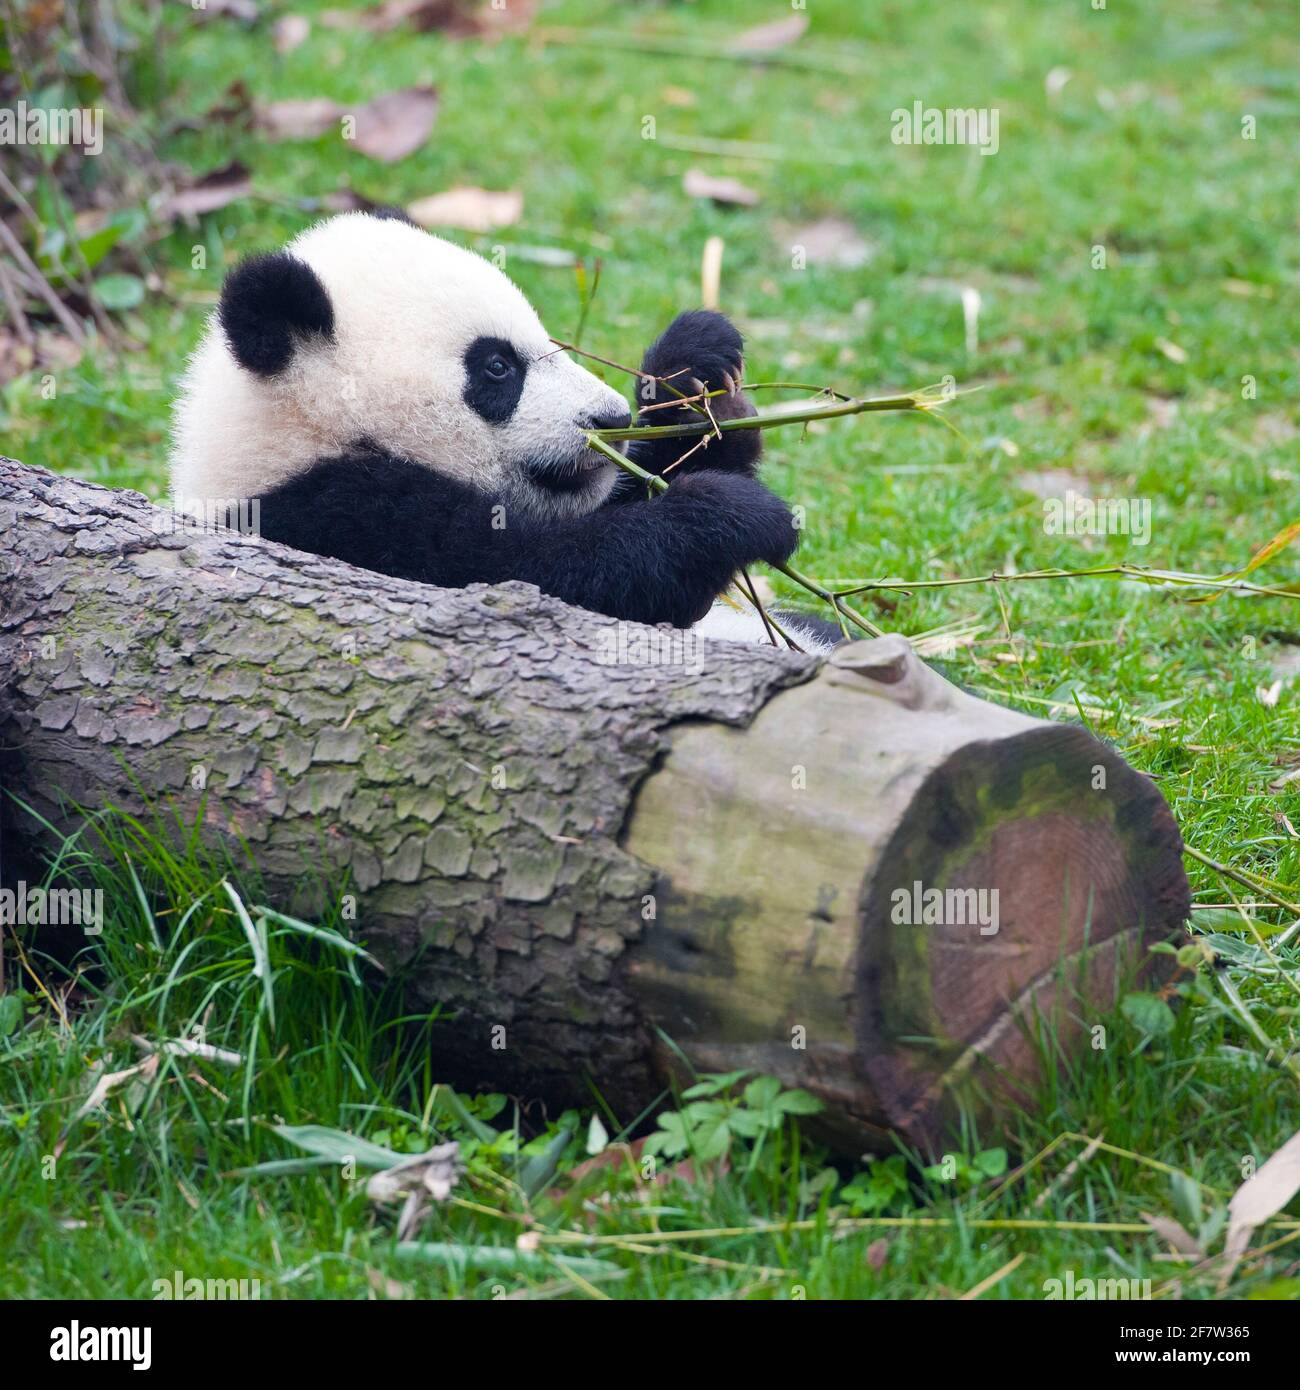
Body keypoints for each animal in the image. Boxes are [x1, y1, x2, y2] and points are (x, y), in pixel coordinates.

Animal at [170, 211, 837, 651]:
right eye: (497, 366)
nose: (611, 420)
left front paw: (695, 375)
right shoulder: (329, 517)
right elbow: (545, 577)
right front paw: (734, 513)